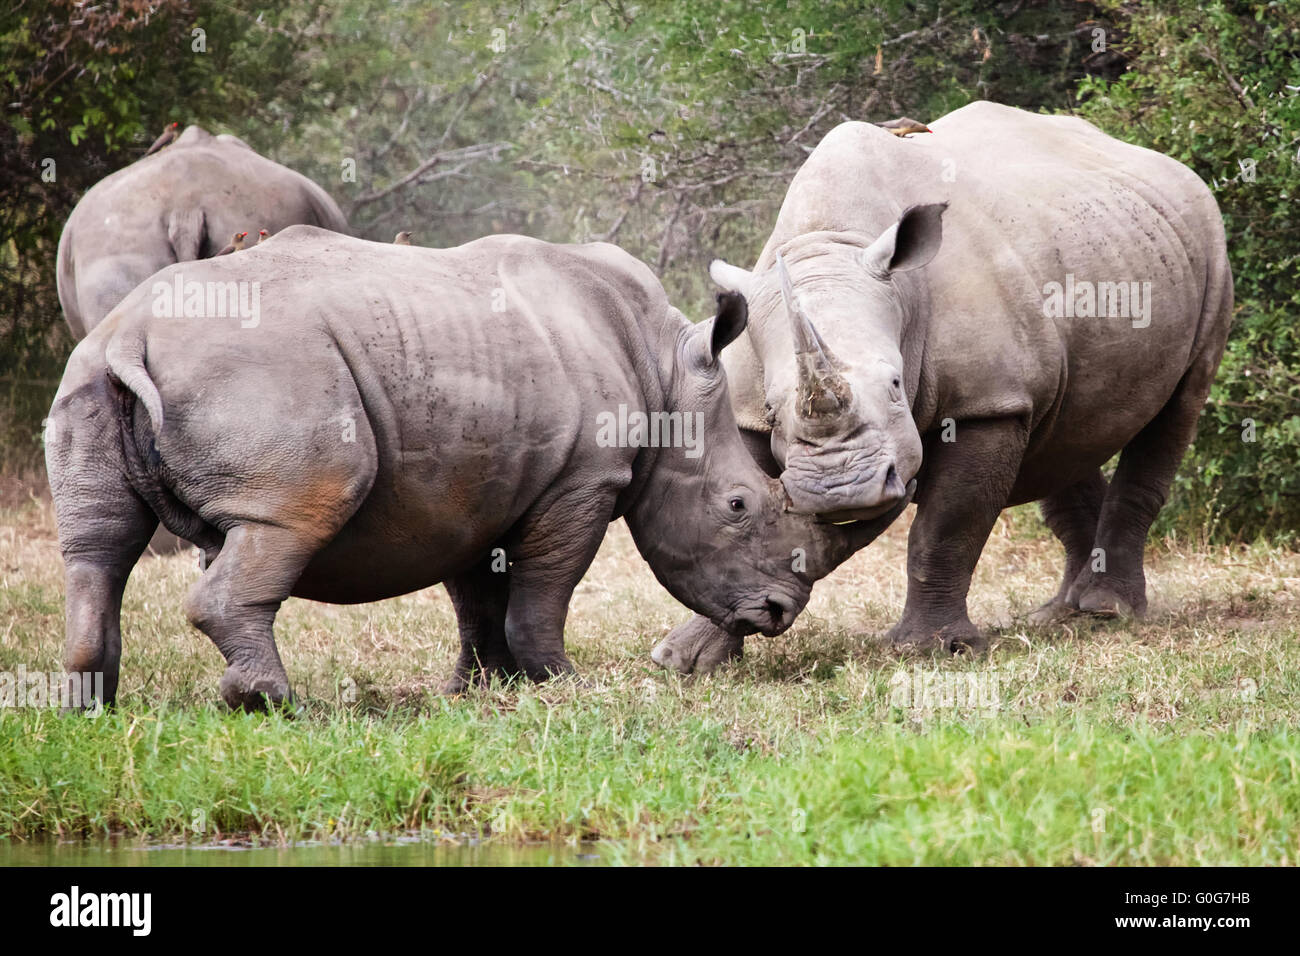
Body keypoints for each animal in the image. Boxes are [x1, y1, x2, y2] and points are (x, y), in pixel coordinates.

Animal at [45, 227, 902, 709]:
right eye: (737, 506)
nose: (778, 611)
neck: (662, 373)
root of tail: (130, 335)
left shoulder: (476, 480)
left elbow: (476, 594)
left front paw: (483, 689)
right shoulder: (580, 481)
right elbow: (544, 592)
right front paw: (563, 684)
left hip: (84, 374)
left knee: (97, 546)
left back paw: (91, 705)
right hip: (263, 375)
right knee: (286, 518)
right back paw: (273, 705)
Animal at [652, 100, 1233, 673]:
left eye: (894, 384)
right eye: (775, 410)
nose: (843, 491)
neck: (830, 243)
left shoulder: (987, 403)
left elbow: (945, 529)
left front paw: (929, 650)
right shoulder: (744, 407)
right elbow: (723, 516)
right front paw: (686, 662)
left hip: (1208, 242)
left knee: (1177, 406)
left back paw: (1109, 611)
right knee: (1065, 429)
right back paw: (1061, 614)